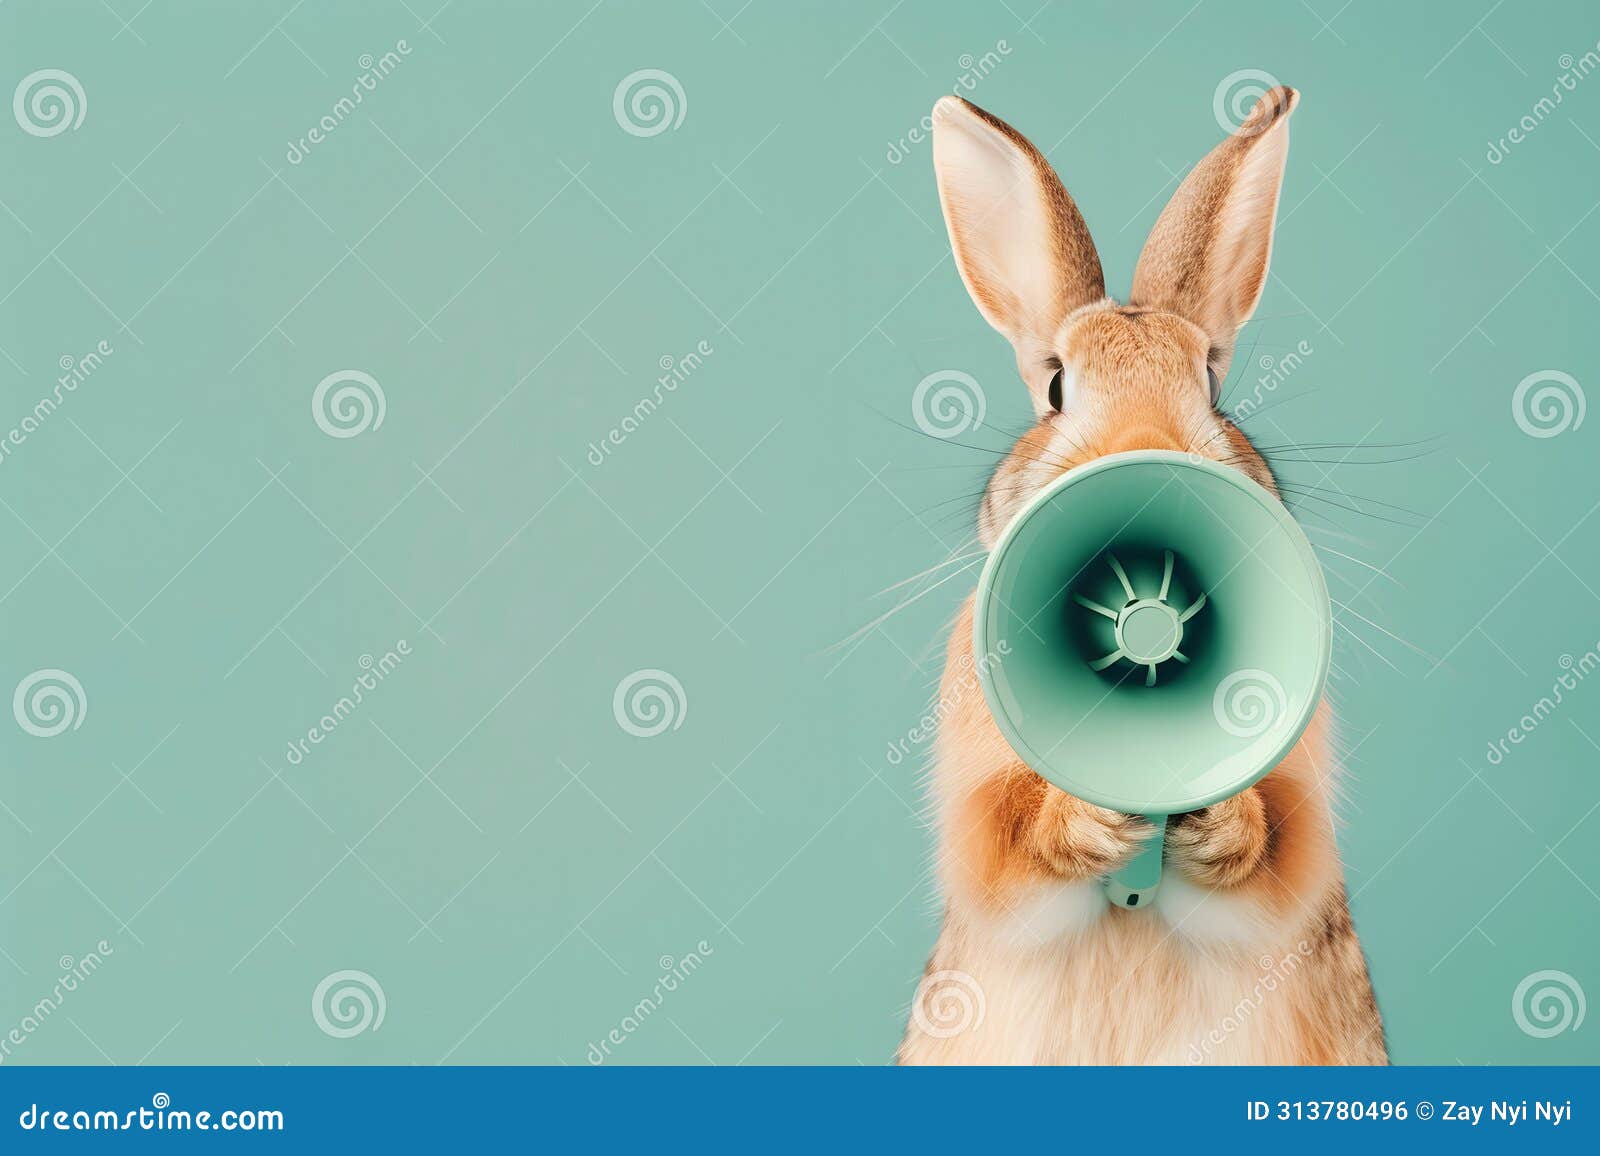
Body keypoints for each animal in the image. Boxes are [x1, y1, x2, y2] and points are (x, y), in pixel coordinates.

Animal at [896, 87, 1386, 1065]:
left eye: (1212, 386)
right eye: (1056, 388)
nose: (1145, 449)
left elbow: (1274, 857)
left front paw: (1215, 823)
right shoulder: (981, 825)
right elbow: (1009, 846)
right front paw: (1093, 822)